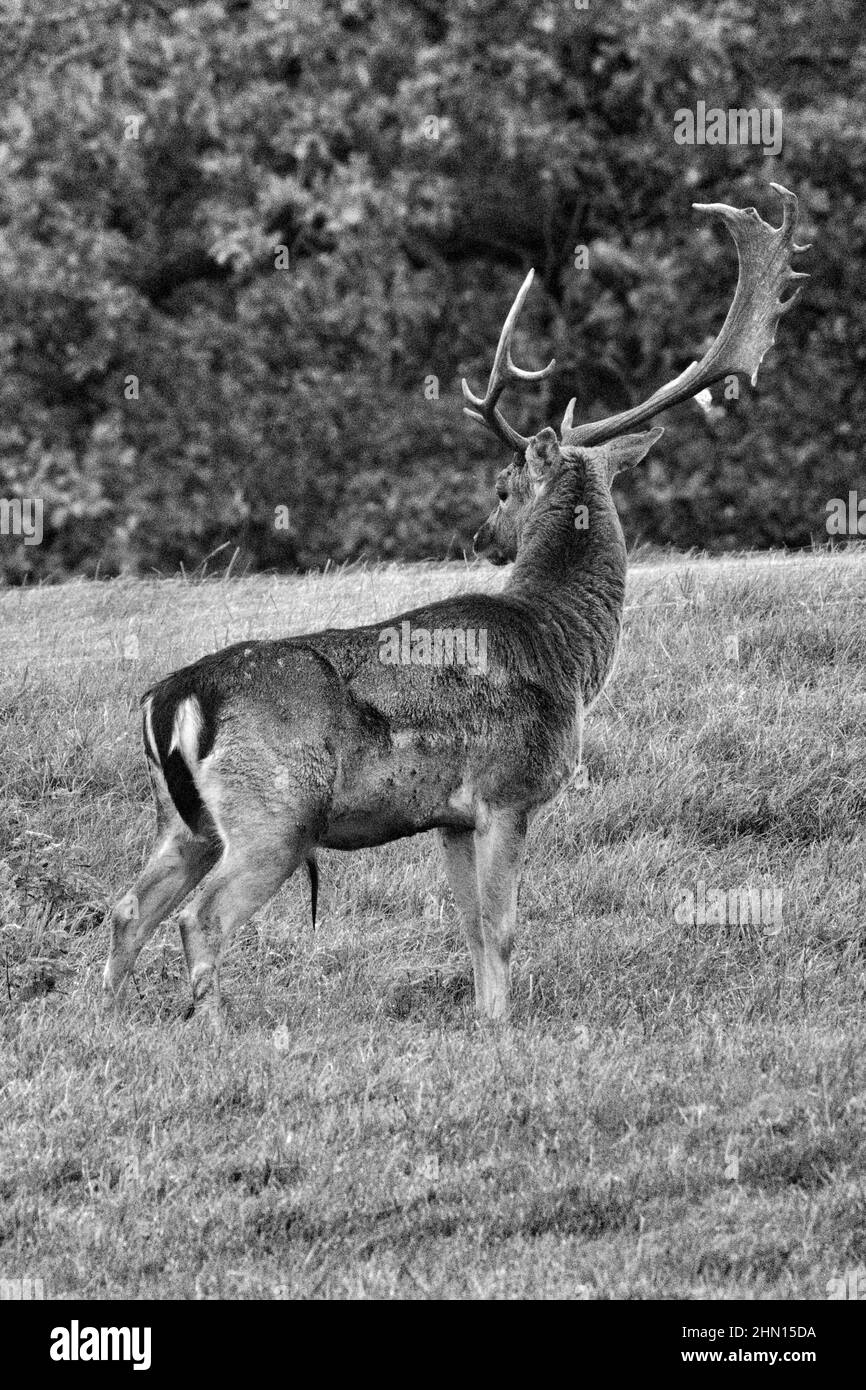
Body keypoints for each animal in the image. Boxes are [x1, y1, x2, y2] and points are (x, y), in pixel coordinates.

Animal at [103, 184, 807, 1026]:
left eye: (501, 491)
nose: (482, 536)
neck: (563, 646)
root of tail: (173, 696)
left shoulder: (449, 817)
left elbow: (469, 925)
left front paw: (479, 1016)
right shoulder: (508, 789)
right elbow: (502, 925)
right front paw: (501, 1028)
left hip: (184, 819)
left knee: (126, 907)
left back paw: (106, 1020)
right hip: (275, 812)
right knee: (197, 916)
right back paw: (216, 1031)